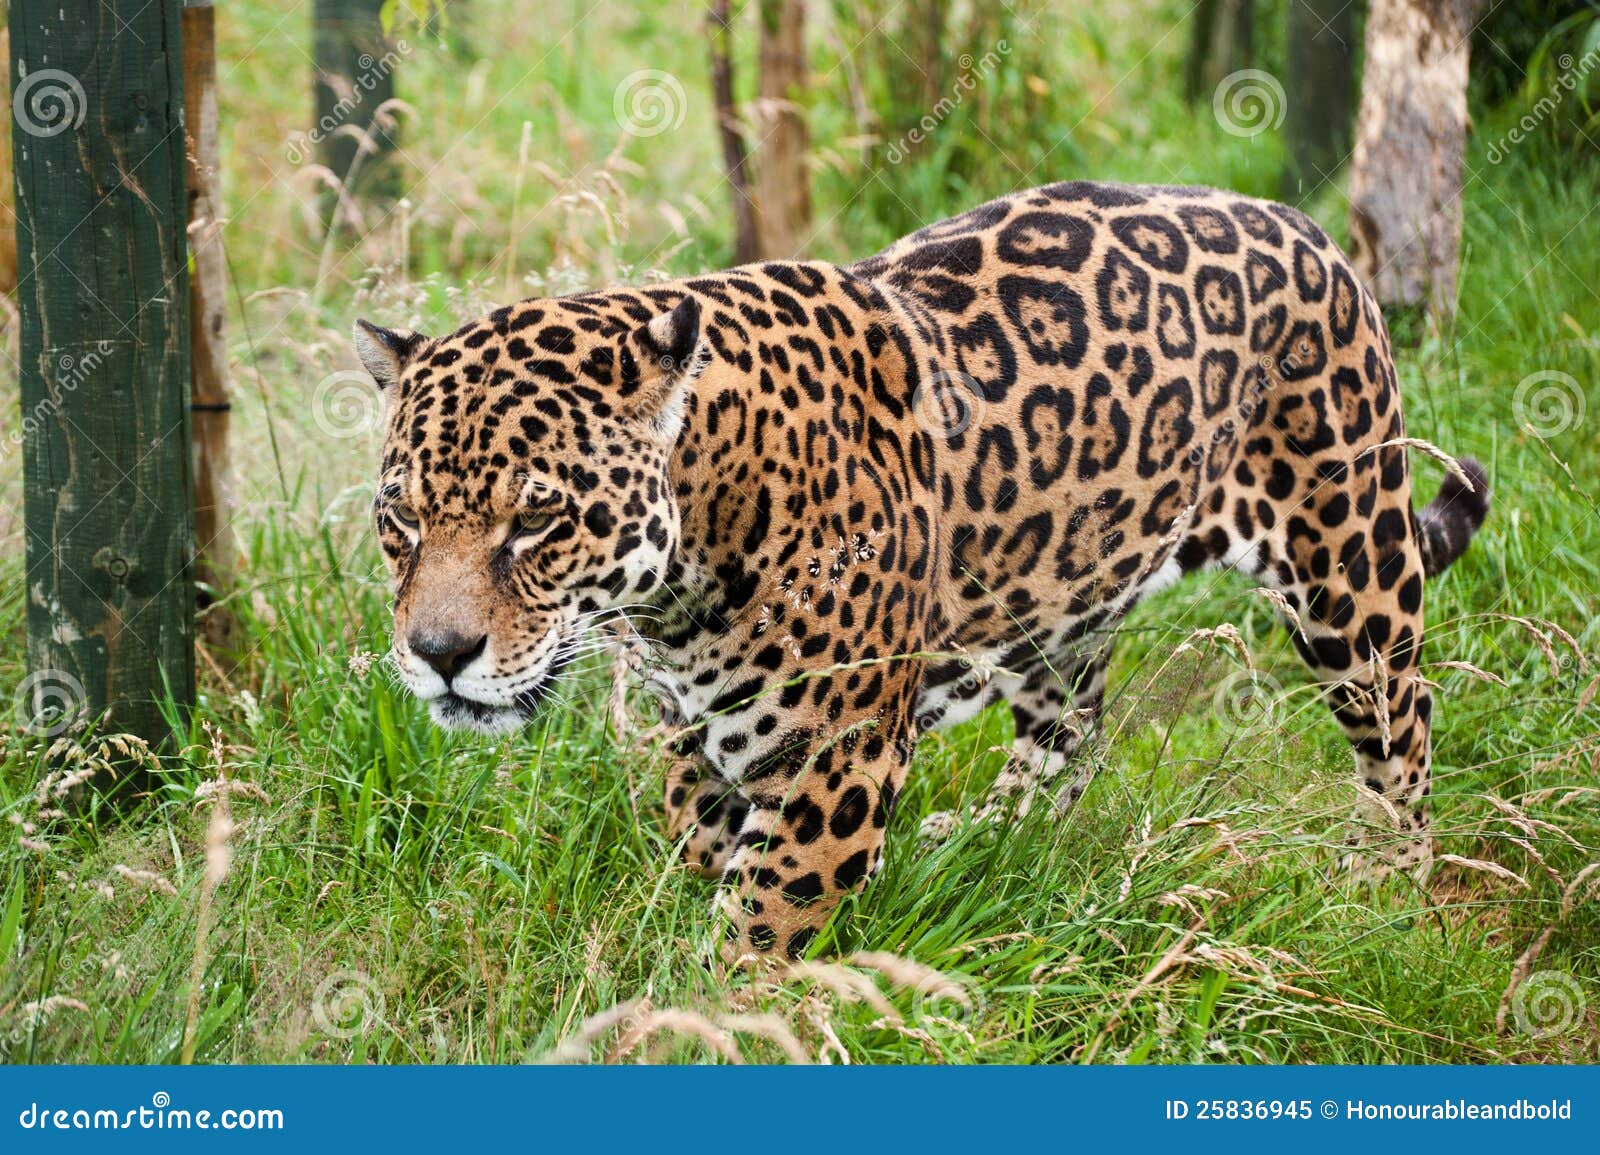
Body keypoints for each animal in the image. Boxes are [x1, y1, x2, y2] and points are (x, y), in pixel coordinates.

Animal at [355, 180, 1489, 964]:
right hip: (1059, 598)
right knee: (1070, 735)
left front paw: (688, 1017)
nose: (438, 655)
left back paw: (1391, 884)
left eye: (537, 519)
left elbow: (754, 927)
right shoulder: (693, 733)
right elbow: (699, 849)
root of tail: (1309, 229)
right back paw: (984, 837)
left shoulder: (834, 759)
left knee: (1404, 721)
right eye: (401, 519)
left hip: (1348, 567)